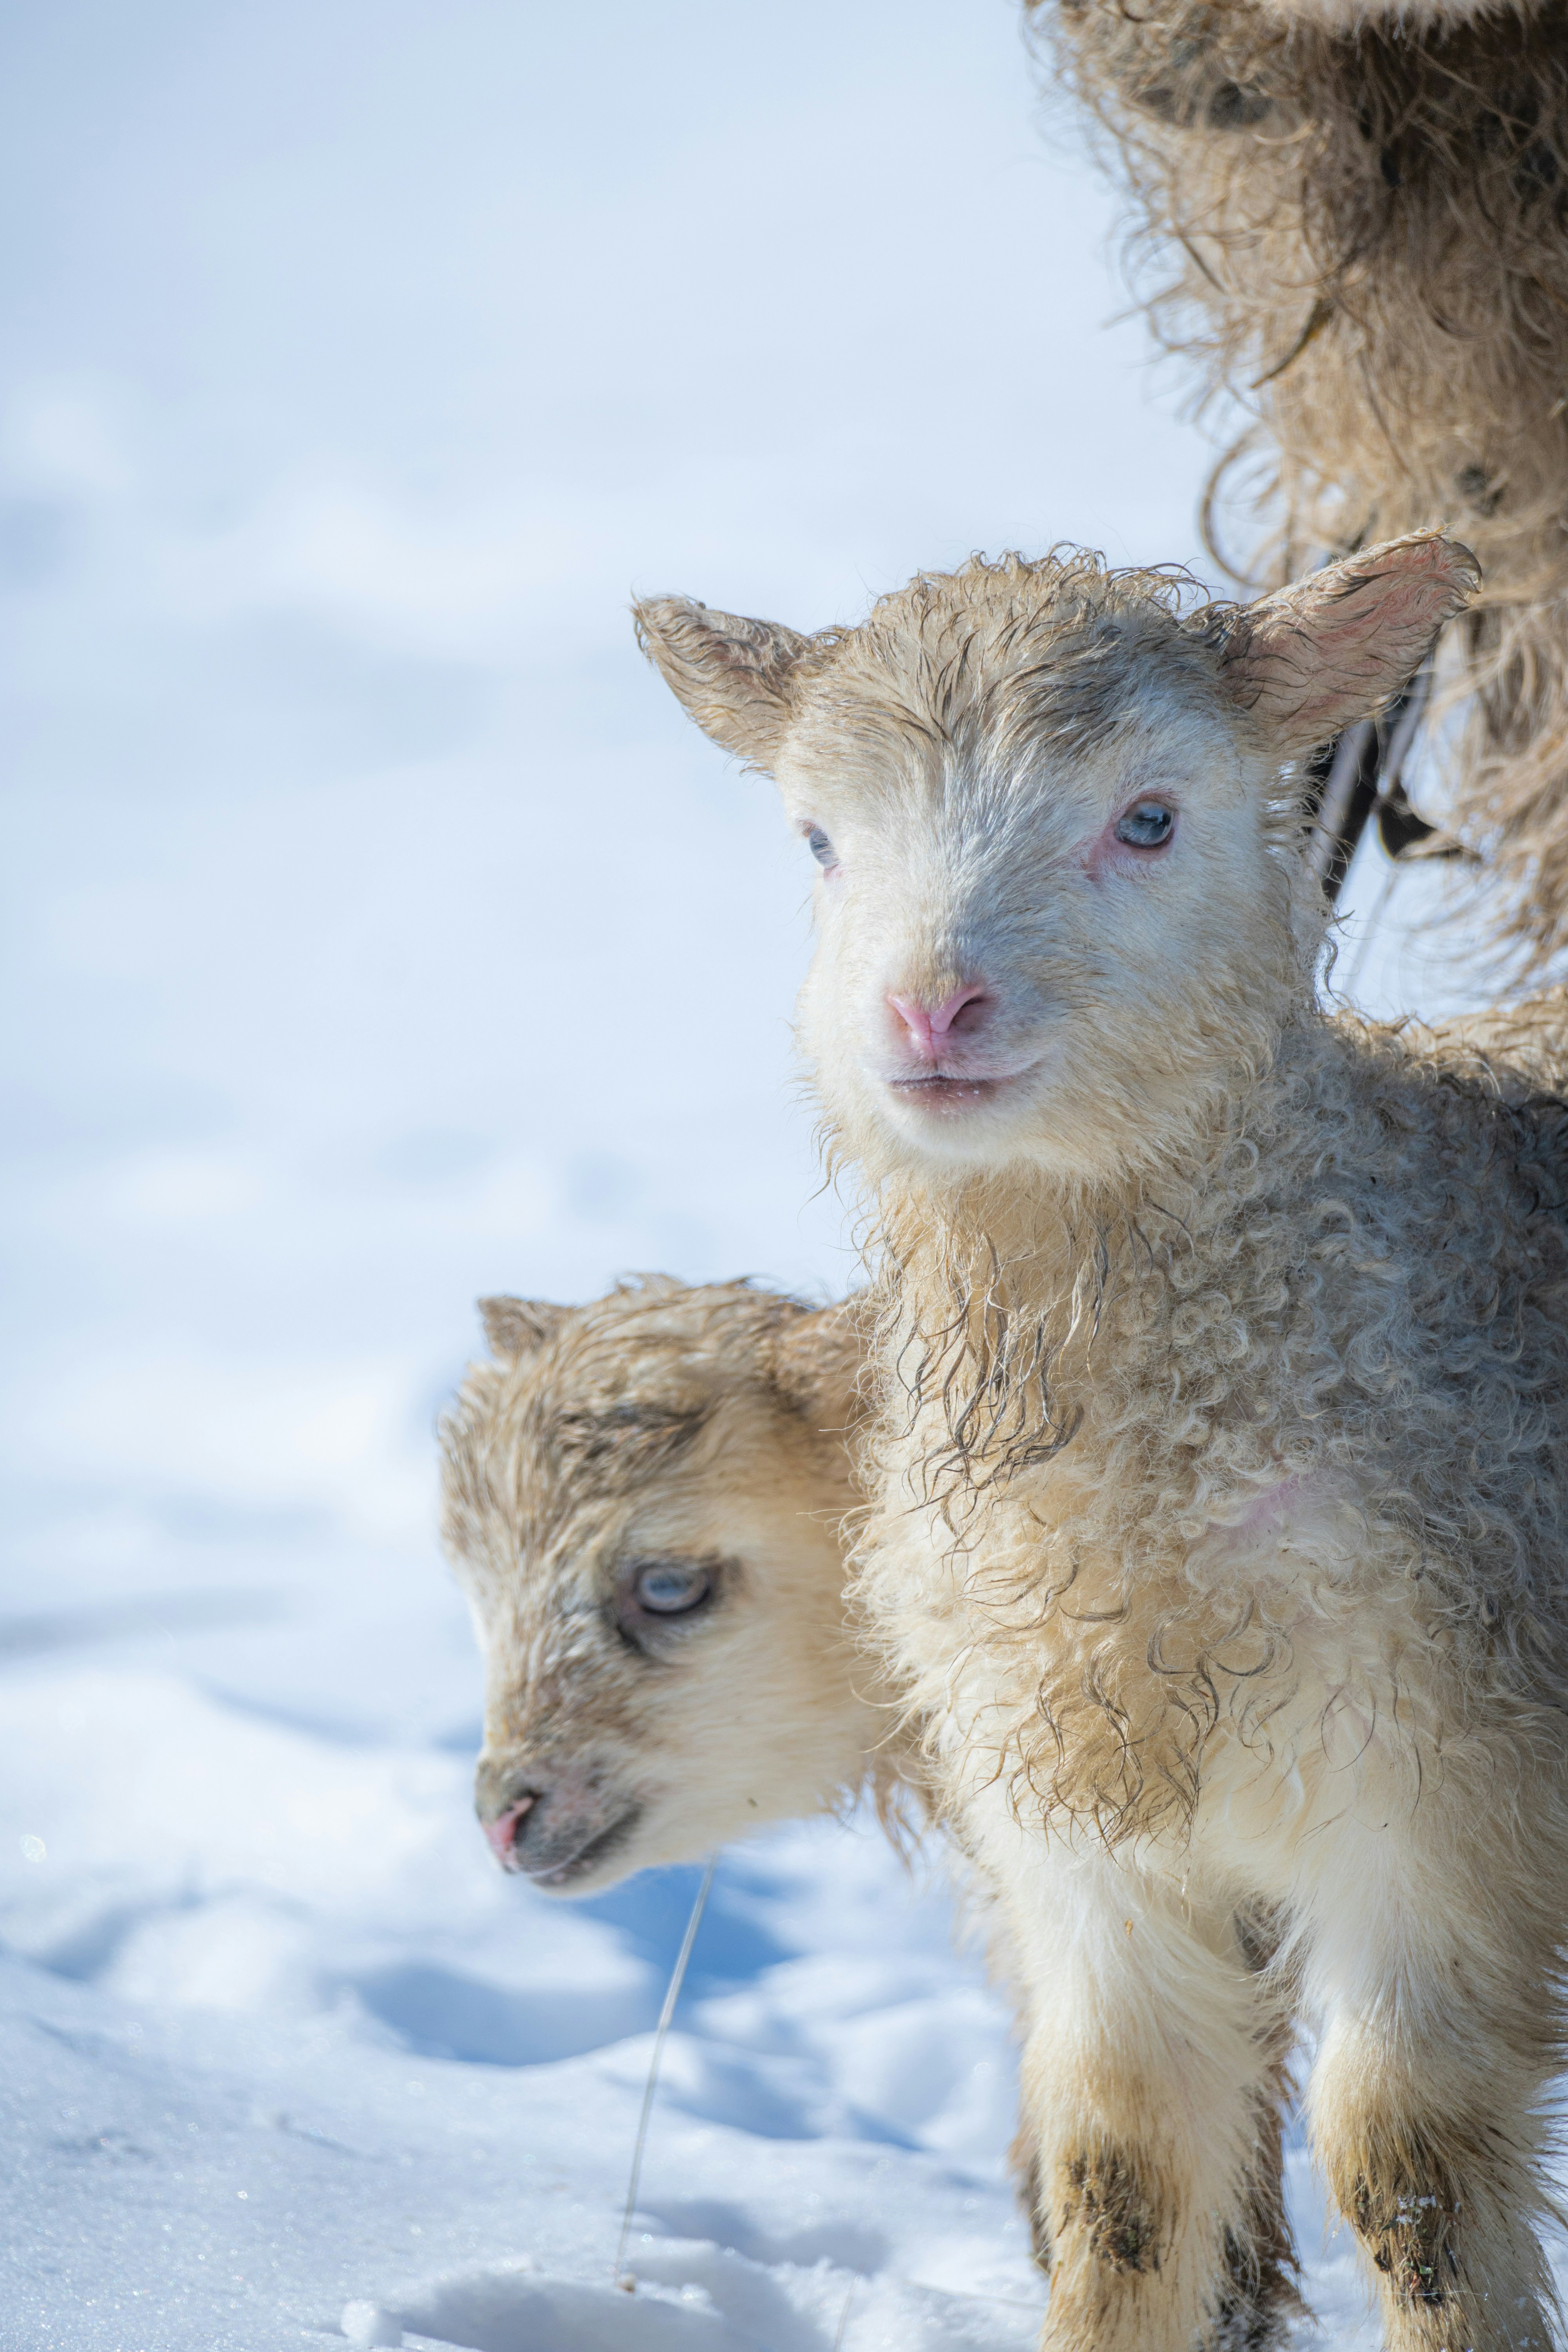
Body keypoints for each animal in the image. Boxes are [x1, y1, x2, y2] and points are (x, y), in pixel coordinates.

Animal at [636, 533, 1568, 2352]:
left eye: (1147, 816)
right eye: (818, 838)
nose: (931, 1009)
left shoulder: (1441, 1801)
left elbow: (1402, 2167)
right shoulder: (1080, 1833)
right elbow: (1119, 2176)